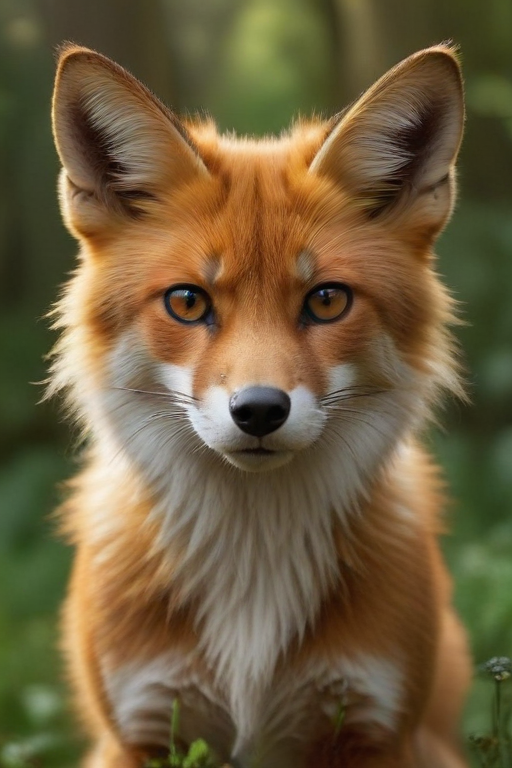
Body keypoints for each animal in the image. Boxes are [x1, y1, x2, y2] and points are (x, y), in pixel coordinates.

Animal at [49, 42, 471, 768]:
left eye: (326, 300)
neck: (253, 569)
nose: (259, 411)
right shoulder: (138, 730)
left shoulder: (375, 727)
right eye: (187, 302)